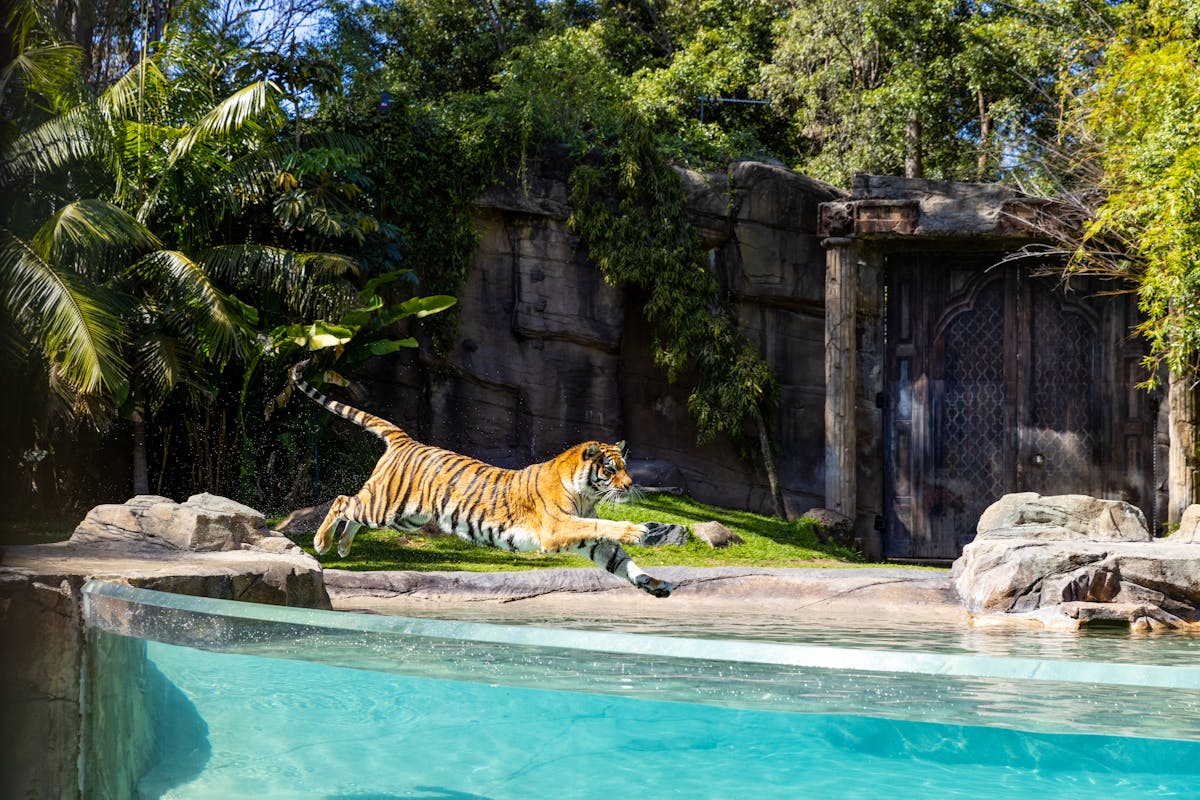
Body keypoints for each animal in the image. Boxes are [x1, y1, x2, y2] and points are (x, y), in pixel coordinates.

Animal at [289, 360, 679, 597]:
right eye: (612, 469)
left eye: (624, 466)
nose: (629, 486)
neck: (586, 493)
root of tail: (407, 440)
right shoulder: (557, 529)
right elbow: (605, 527)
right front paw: (637, 530)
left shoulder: (588, 542)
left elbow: (620, 561)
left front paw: (653, 583)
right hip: (385, 506)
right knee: (342, 501)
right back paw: (323, 543)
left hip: (404, 518)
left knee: (352, 512)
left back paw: (342, 546)